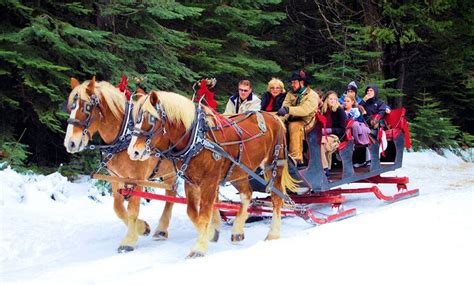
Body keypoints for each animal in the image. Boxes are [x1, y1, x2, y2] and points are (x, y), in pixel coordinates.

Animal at [65, 77, 178, 251]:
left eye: (87, 107)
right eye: (70, 107)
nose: (70, 143)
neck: (123, 137)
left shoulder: (137, 179)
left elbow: (133, 209)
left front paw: (129, 241)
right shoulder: (116, 178)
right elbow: (118, 208)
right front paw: (142, 228)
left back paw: (163, 229)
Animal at [126, 90, 296, 258]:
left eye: (152, 118)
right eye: (135, 120)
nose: (133, 152)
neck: (197, 138)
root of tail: (274, 117)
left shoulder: (209, 182)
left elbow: (203, 214)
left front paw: (199, 248)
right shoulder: (191, 182)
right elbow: (192, 212)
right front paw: (211, 233)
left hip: (274, 165)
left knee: (276, 198)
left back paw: (273, 234)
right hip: (238, 171)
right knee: (247, 194)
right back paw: (237, 230)